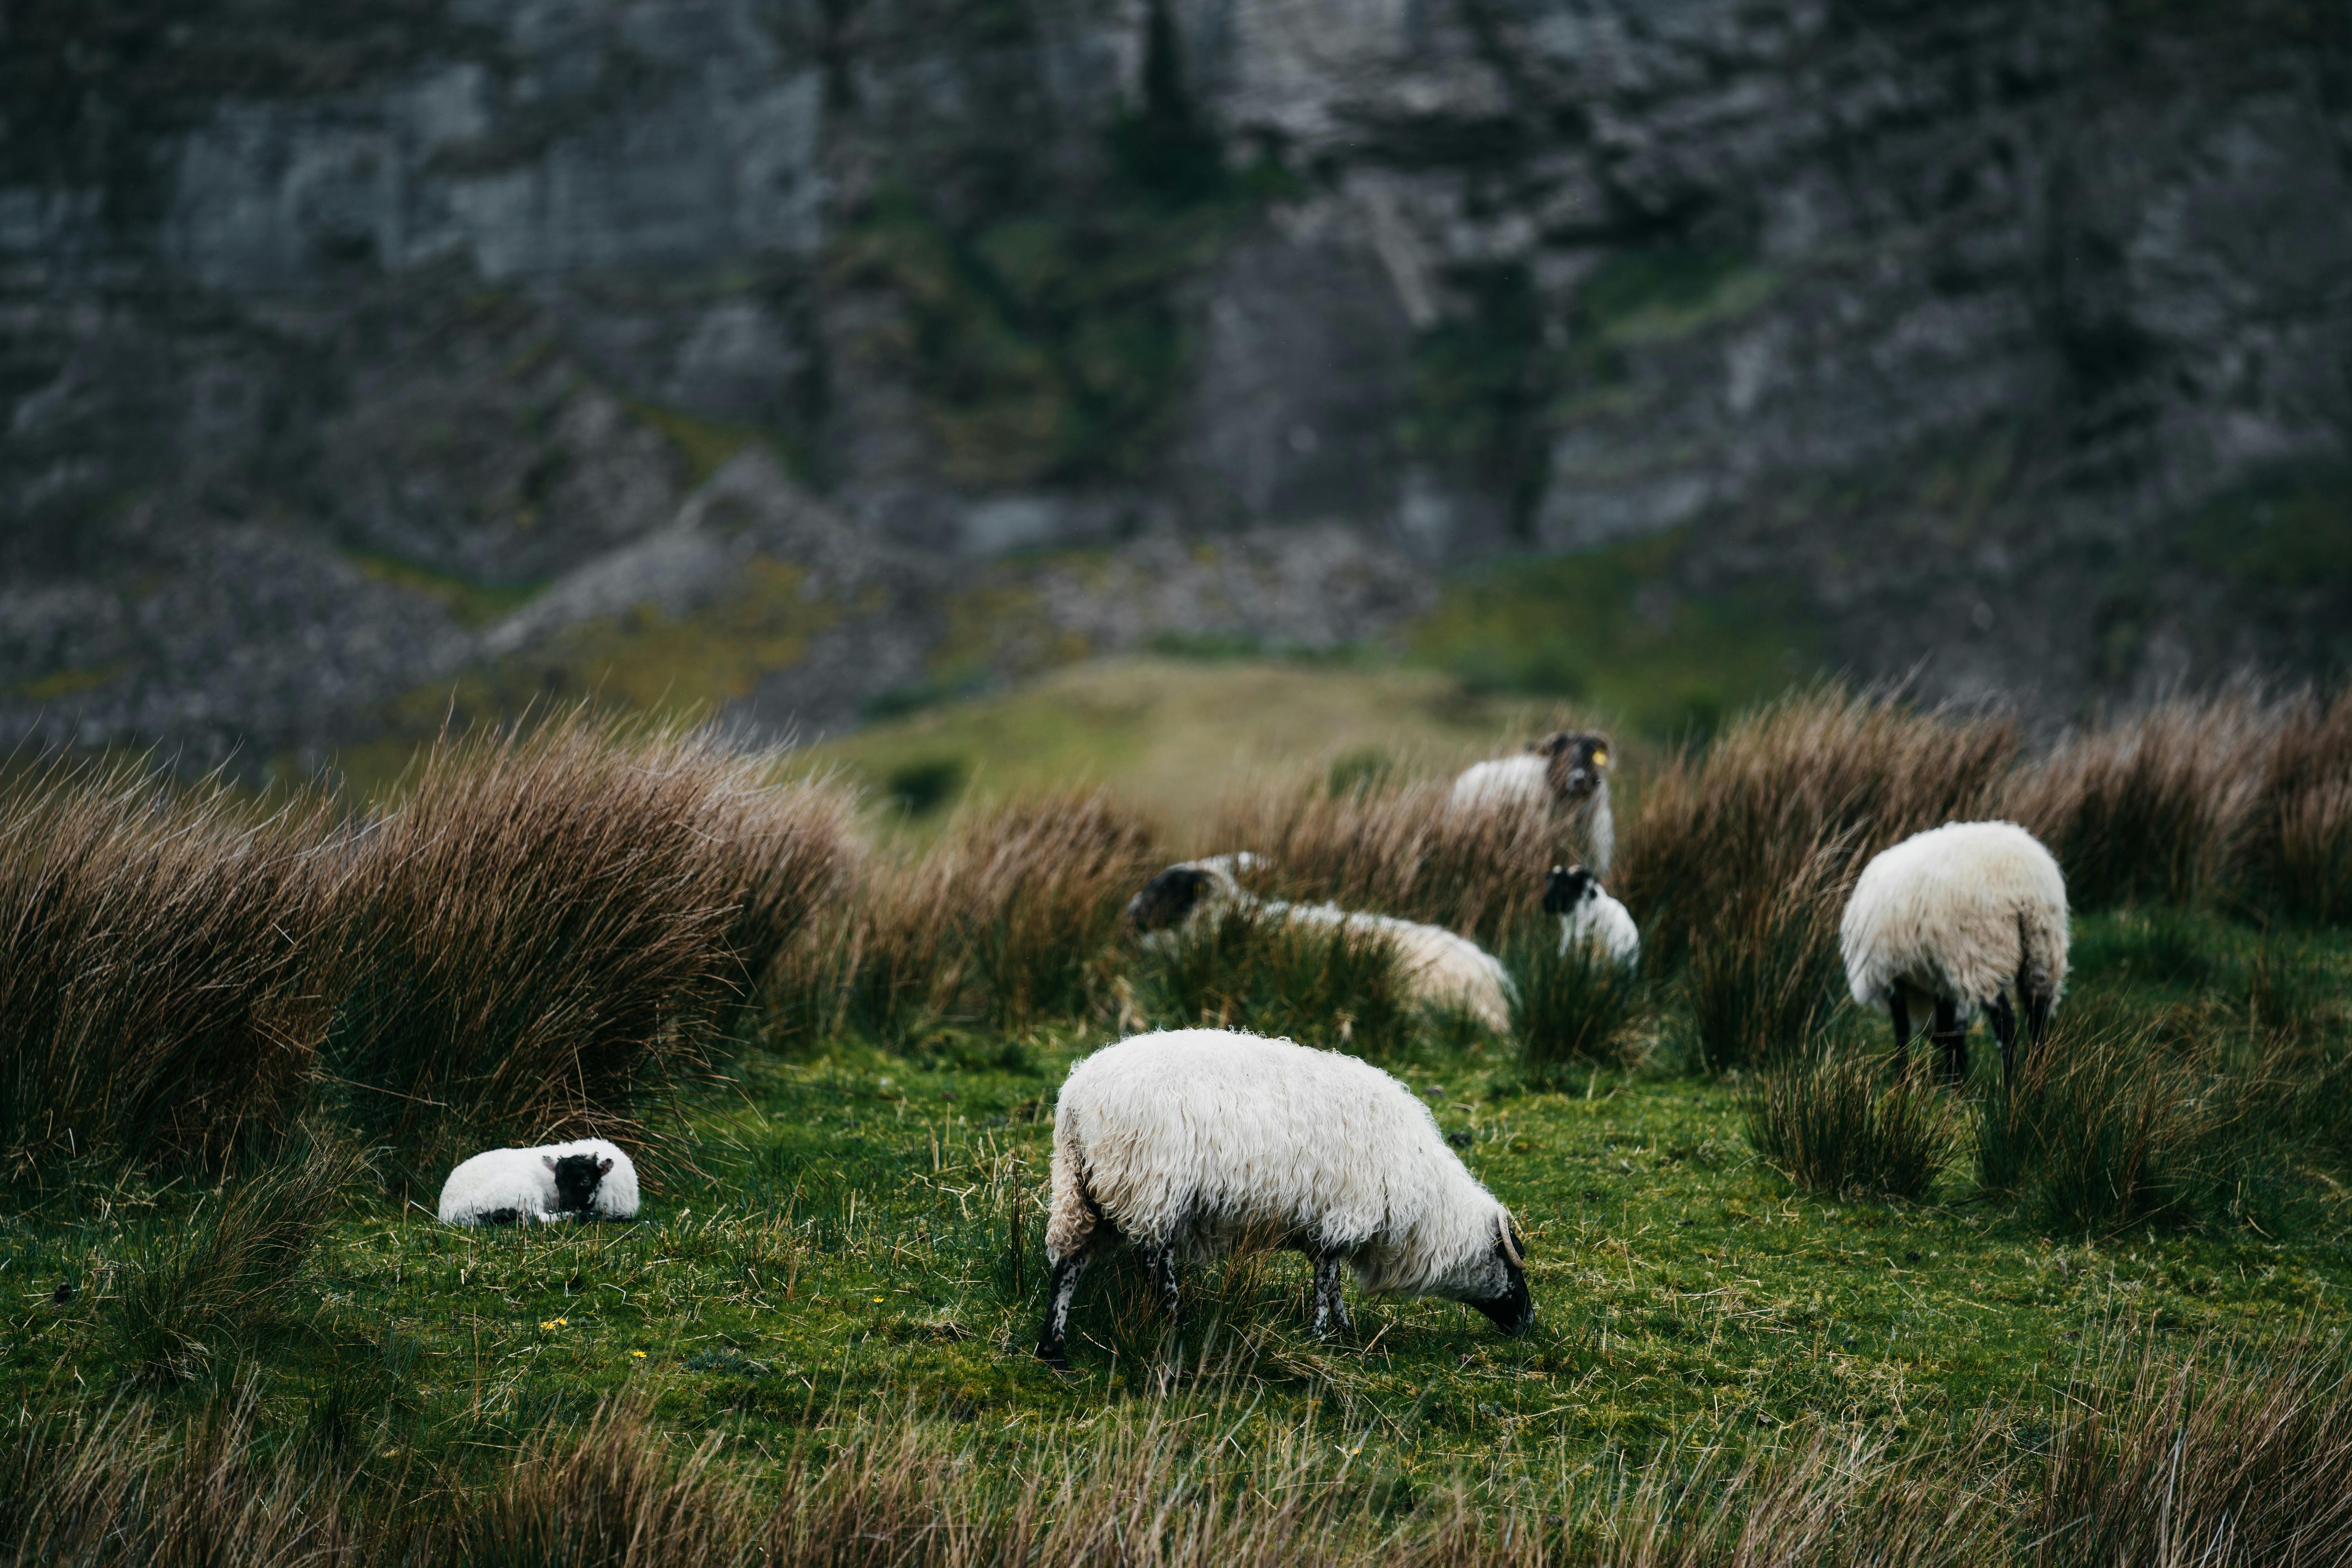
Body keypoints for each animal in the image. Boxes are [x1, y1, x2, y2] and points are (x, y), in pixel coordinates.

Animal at [437, 1137, 641, 1226]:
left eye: (585, 1181)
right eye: (557, 1183)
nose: (564, 1206)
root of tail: (448, 1213)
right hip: (520, 1192)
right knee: (536, 1218)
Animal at [1035, 1028, 1531, 1369]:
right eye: (1510, 1266)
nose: (1529, 1324)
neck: (1429, 1207)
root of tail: (1077, 1097)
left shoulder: (1327, 1223)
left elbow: (1331, 1281)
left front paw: (1345, 1331)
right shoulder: (1345, 1216)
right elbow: (1326, 1282)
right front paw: (1323, 1336)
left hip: (1082, 1189)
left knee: (1070, 1263)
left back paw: (1053, 1348)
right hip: (1151, 1185)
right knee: (1155, 1265)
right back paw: (1180, 1326)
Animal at [1839, 820, 2069, 1086]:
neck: (1922, 994)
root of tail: (2024, 884)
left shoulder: (1892, 979)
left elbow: (1902, 1031)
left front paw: (1903, 1083)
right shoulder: (1941, 979)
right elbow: (1952, 1026)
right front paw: (1955, 1083)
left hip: (1983, 952)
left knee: (2005, 1024)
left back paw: (2010, 1087)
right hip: (2043, 949)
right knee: (2038, 1017)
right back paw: (2036, 1080)